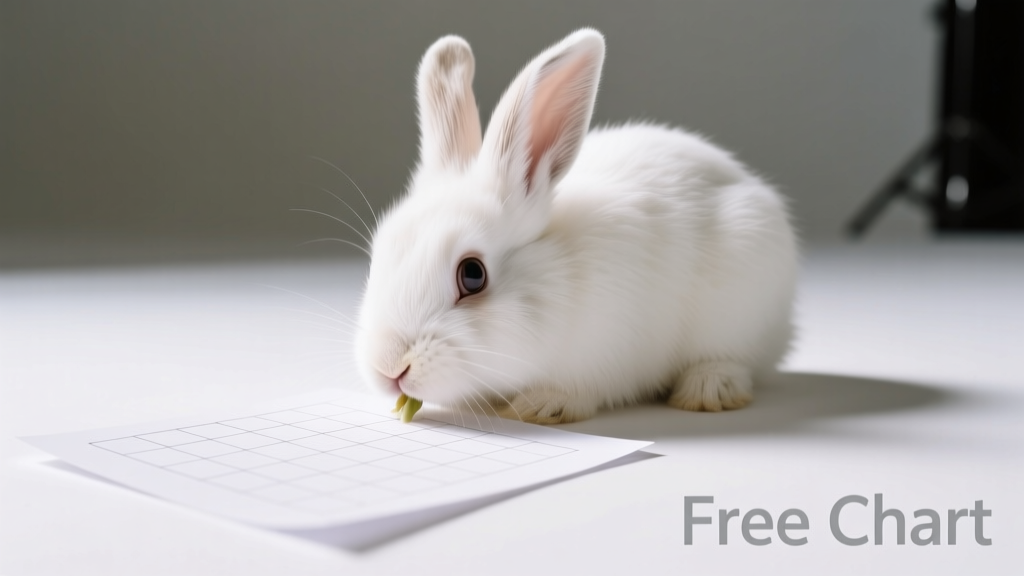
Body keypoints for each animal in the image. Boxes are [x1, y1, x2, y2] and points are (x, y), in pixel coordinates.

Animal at [355, 28, 798, 424]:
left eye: (473, 274)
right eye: (378, 258)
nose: (389, 367)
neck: (557, 273)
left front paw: (542, 407)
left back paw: (708, 391)